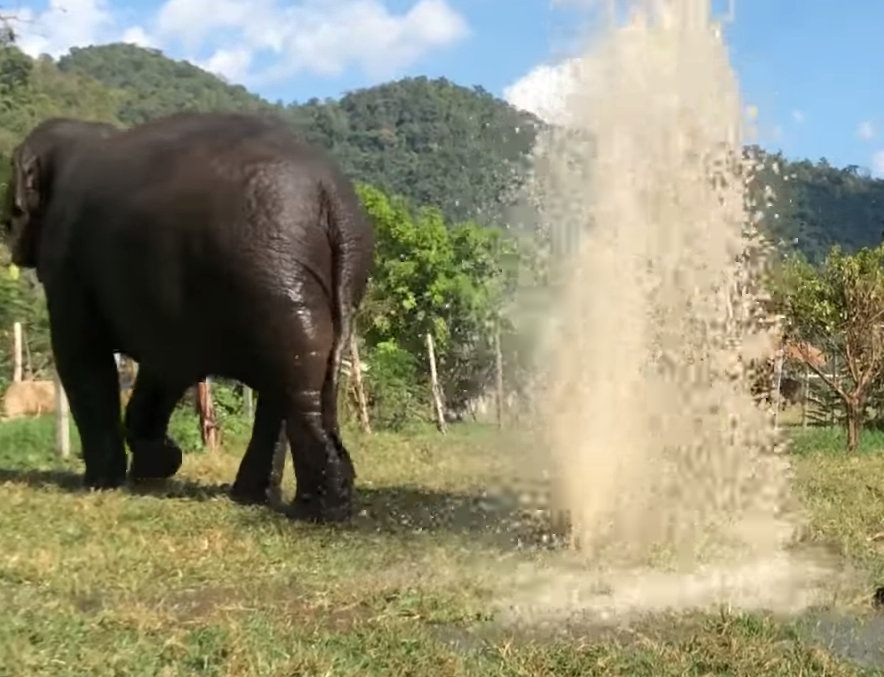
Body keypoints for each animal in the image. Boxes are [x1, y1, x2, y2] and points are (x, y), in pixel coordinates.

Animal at [1, 112, 374, 522]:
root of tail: (331, 194)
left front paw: (105, 483)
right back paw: (264, 498)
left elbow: (82, 356)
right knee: (293, 378)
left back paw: (317, 511)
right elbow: (165, 365)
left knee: (295, 382)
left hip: (271, 276)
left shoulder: (68, 263)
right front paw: (160, 466)